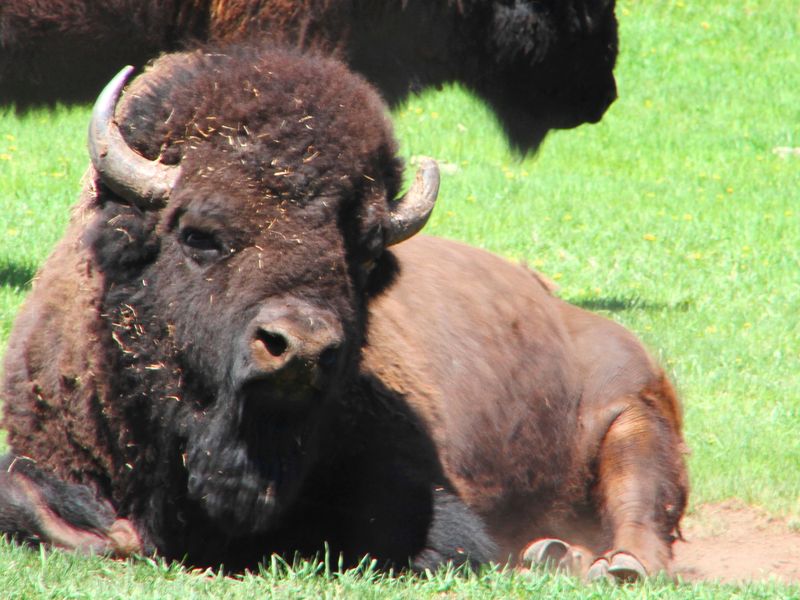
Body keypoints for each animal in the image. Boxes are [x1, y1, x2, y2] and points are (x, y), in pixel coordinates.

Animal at [0, 42, 686, 580]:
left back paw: (603, 563)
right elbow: (30, 499)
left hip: (633, 417)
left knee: (641, 506)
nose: (300, 347)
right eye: (199, 234)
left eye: (362, 253)